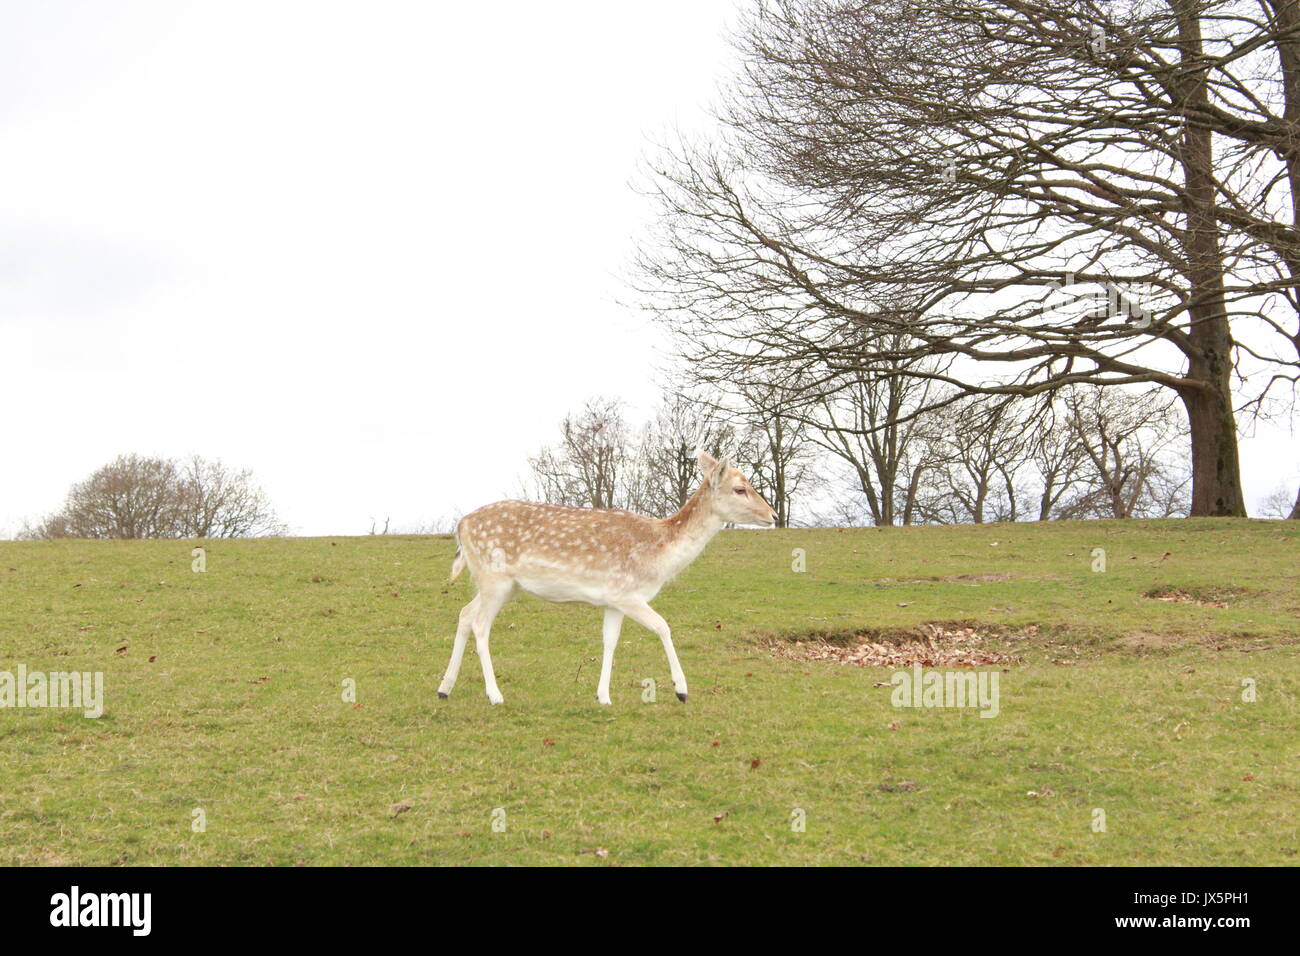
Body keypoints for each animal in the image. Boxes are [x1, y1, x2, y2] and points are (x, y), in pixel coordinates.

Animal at [437, 451, 777, 706]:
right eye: (740, 489)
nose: (773, 516)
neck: (658, 556)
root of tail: (461, 525)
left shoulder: (612, 600)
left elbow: (610, 641)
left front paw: (603, 696)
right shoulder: (626, 592)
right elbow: (663, 627)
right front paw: (681, 690)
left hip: (502, 584)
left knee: (465, 614)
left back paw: (444, 688)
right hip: (494, 577)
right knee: (480, 625)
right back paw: (495, 695)